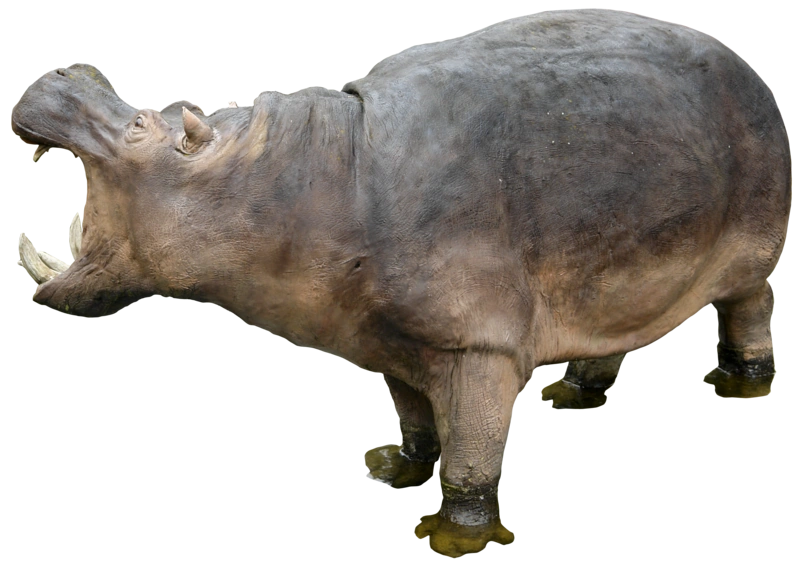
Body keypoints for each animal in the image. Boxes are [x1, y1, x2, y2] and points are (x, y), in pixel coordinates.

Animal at [11, 8, 790, 558]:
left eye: (144, 121)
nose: (73, 69)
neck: (298, 179)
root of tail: (746, 62)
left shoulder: (478, 343)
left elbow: (471, 457)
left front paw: (454, 535)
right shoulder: (384, 333)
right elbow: (415, 416)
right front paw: (393, 468)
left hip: (757, 244)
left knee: (750, 308)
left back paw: (740, 387)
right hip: (619, 241)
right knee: (614, 320)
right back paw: (576, 395)